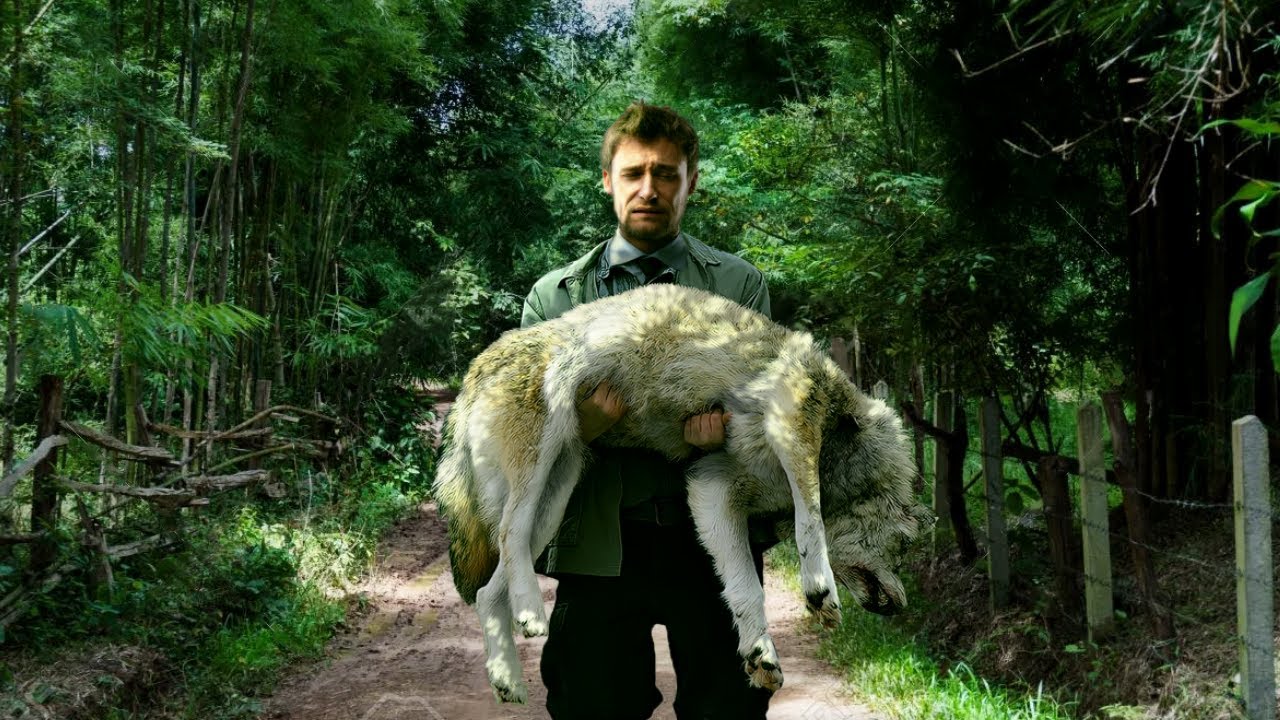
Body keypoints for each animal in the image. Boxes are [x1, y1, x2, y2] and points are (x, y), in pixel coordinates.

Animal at [433, 283, 927, 703]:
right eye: (904, 548)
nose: (902, 607)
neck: (846, 444)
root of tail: (474, 369)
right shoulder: (797, 415)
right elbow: (813, 516)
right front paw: (819, 589)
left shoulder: (712, 490)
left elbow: (746, 591)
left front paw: (762, 657)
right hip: (540, 462)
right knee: (509, 536)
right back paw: (532, 612)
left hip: (557, 492)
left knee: (488, 591)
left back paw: (507, 679)